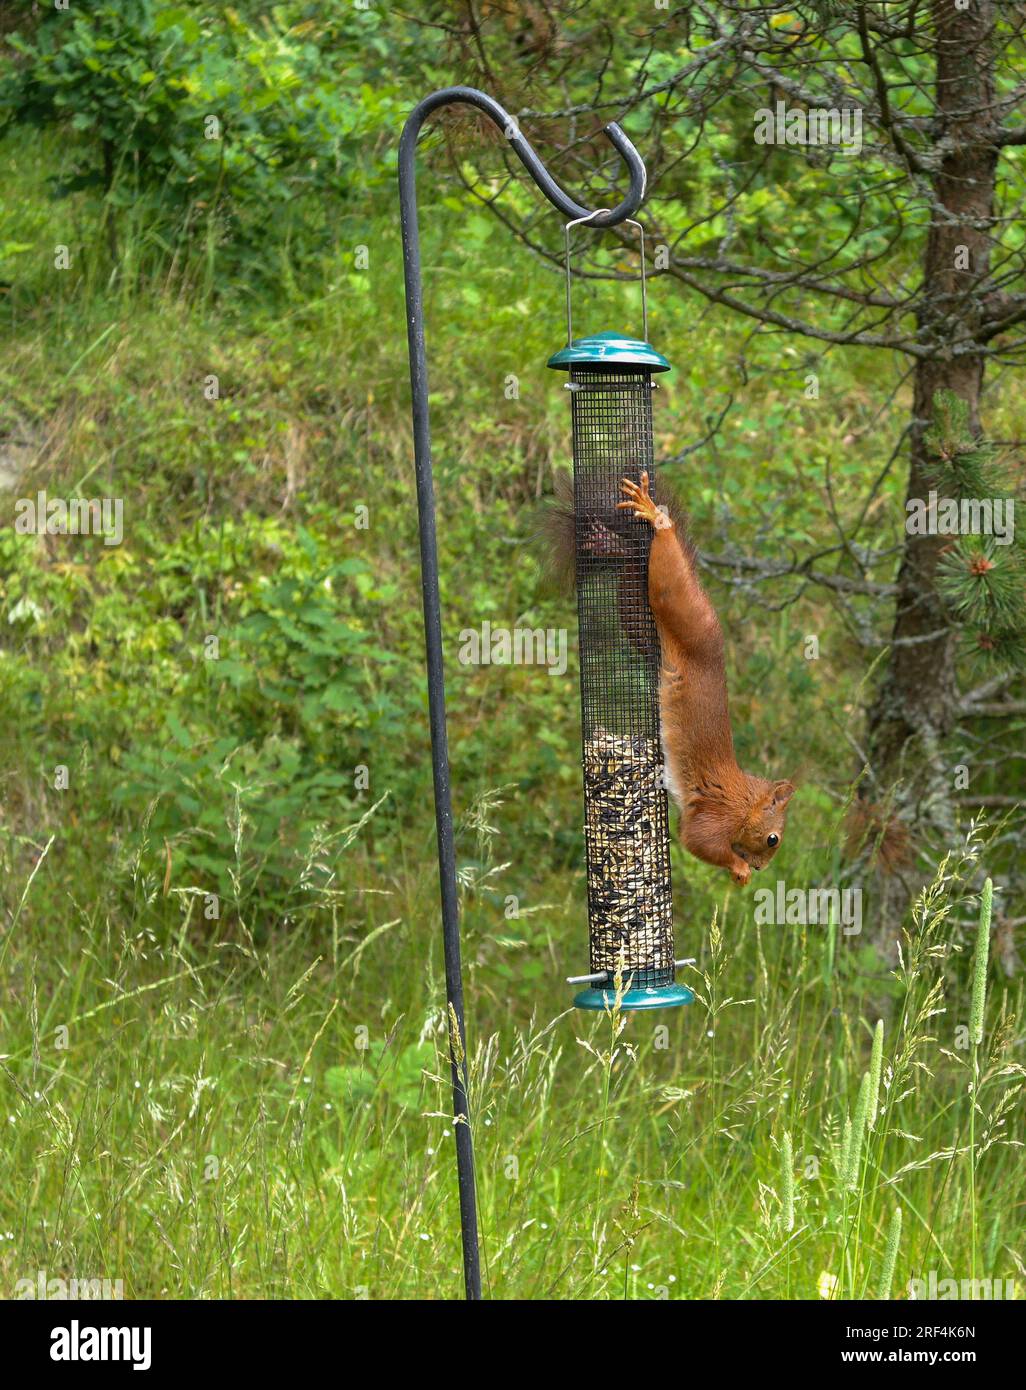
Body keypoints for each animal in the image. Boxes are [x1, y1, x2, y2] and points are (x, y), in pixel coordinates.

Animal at [543, 469, 795, 886]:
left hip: (642, 620)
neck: (744, 800)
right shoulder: (714, 815)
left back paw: (612, 545)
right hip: (680, 606)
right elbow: (698, 841)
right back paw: (652, 514)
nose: (760, 868)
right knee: (667, 569)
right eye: (773, 839)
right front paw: (739, 869)